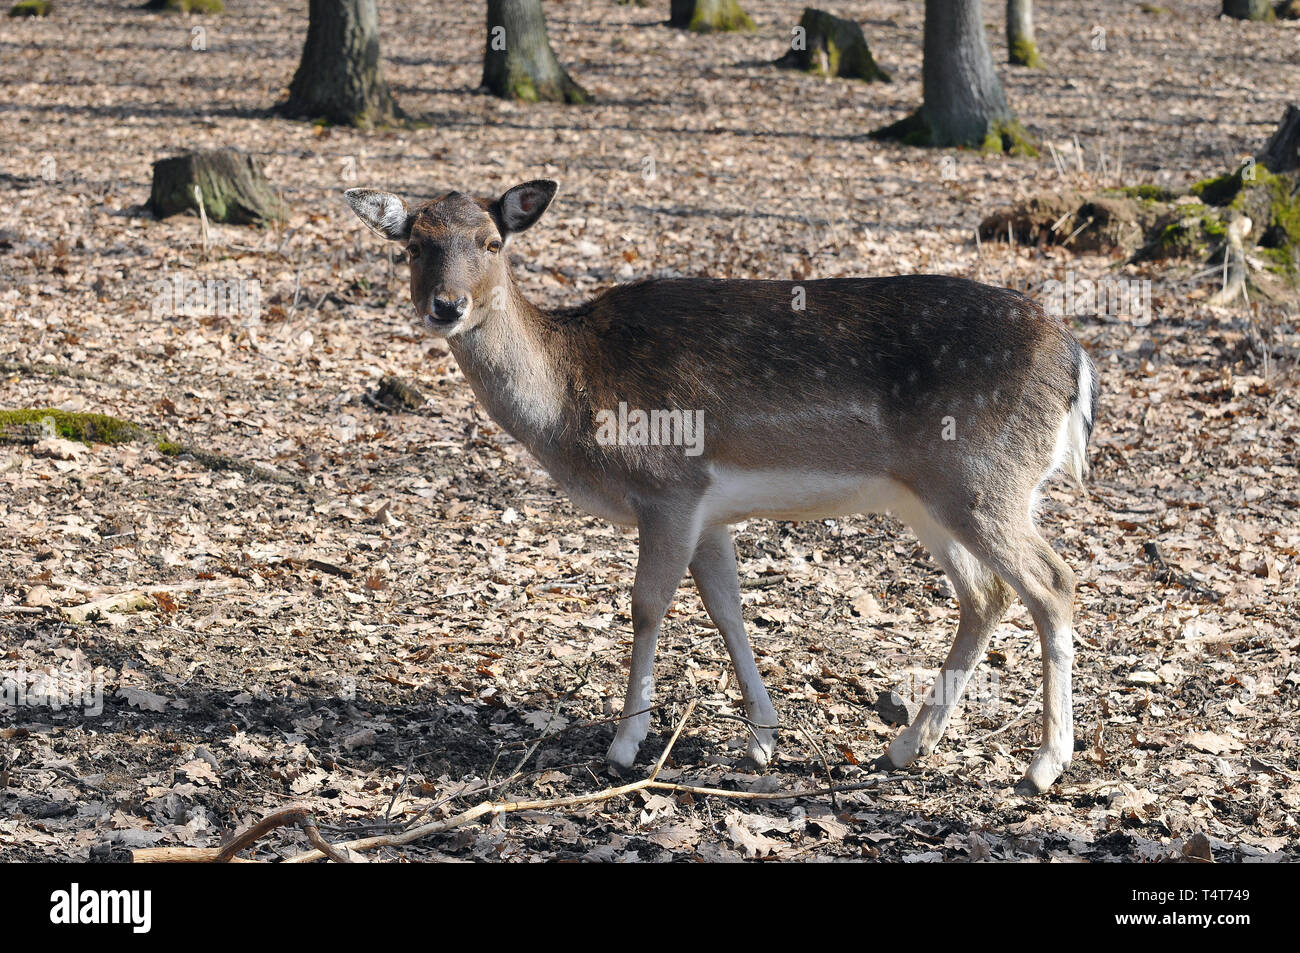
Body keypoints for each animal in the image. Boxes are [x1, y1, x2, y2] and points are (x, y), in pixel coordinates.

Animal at [344, 179, 1098, 795]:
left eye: (492, 241)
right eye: (414, 244)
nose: (446, 306)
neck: (569, 396)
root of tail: (1078, 367)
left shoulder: (668, 485)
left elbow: (648, 605)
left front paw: (625, 744)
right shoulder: (708, 511)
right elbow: (726, 607)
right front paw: (763, 737)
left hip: (983, 481)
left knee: (1053, 581)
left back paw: (1044, 764)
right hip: (933, 498)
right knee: (987, 594)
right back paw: (906, 746)